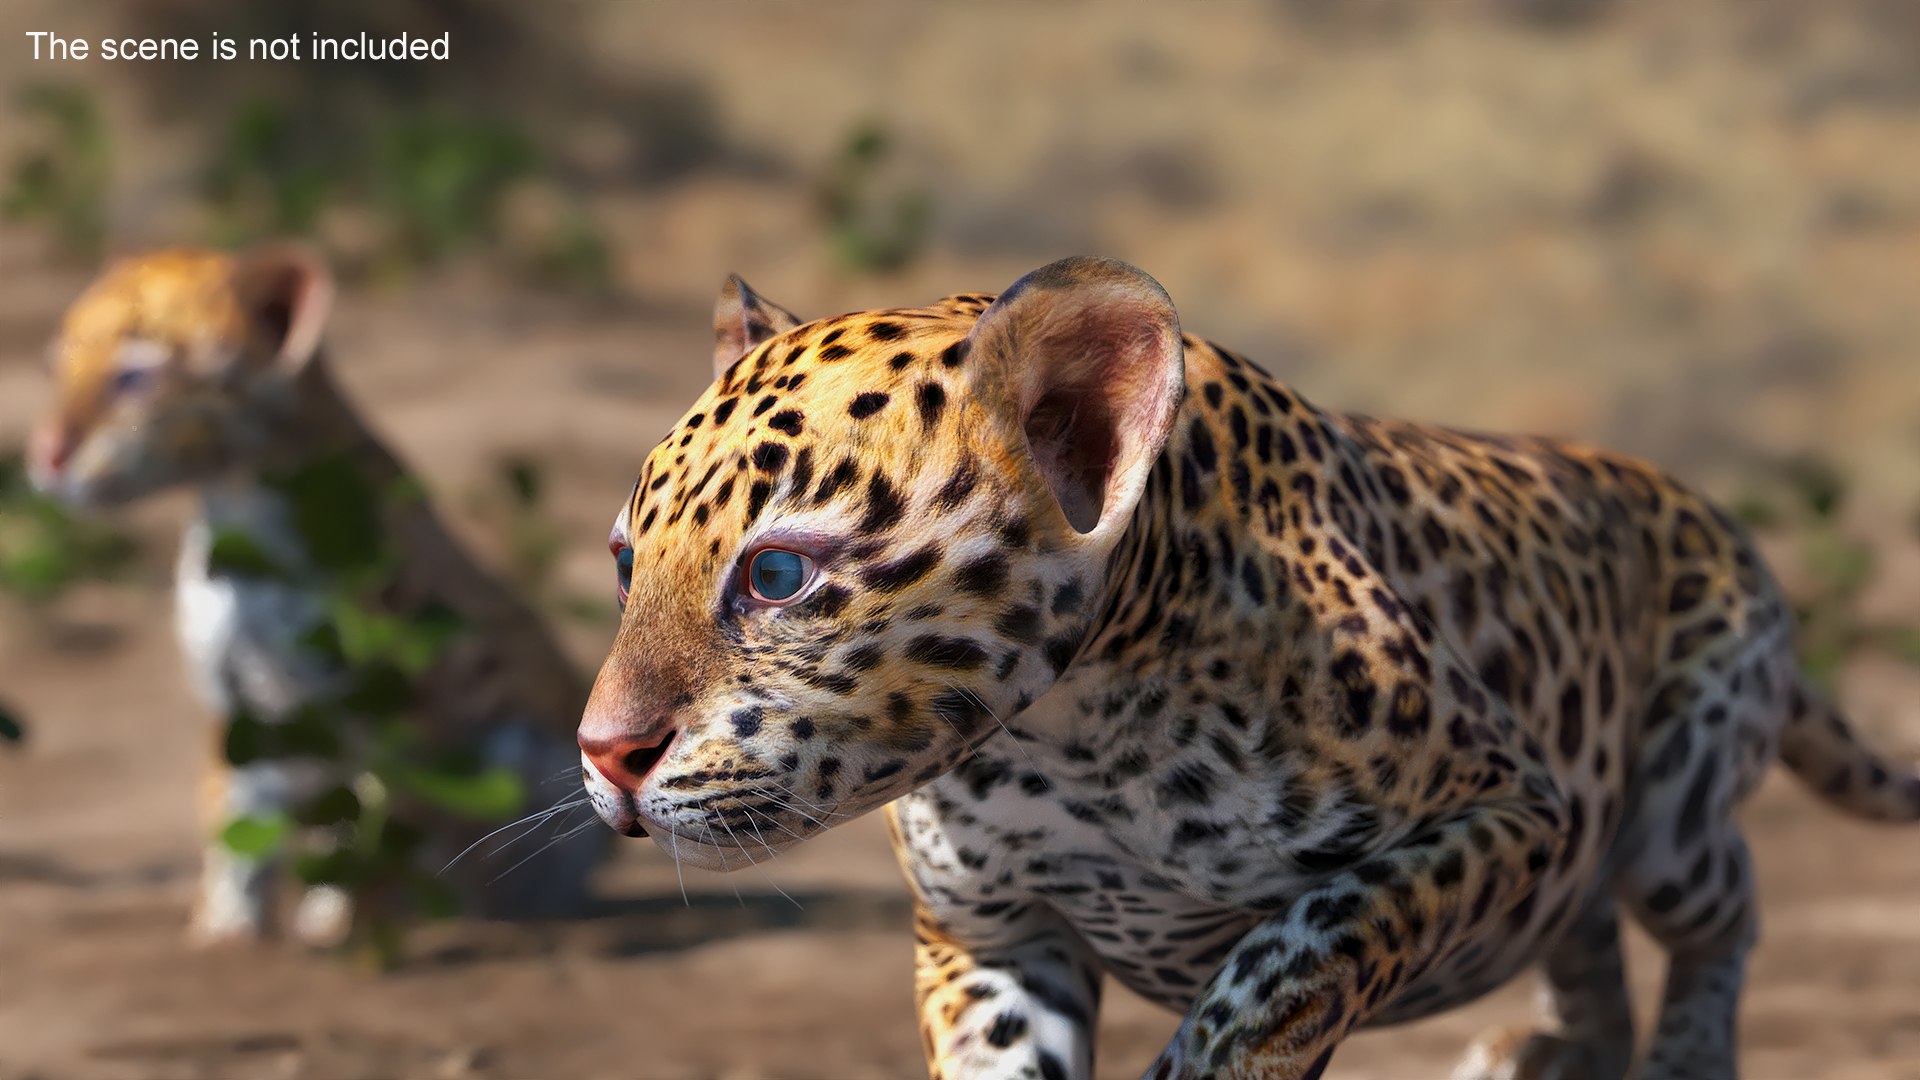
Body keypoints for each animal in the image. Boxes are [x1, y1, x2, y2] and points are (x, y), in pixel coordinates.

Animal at [28, 246, 606, 946]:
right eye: (56, 367)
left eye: (135, 377)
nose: (43, 455)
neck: (238, 506)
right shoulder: (237, 708)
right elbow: (236, 830)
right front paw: (225, 936)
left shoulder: (387, 704)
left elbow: (365, 828)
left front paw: (333, 931)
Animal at [576, 256, 1920, 1079]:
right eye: (625, 558)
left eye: (776, 575)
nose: (603, 755)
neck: (1062, 742)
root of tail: (1700, 504)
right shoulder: (990, 931)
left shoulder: (1505, 808)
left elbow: (1291, 958)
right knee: (1586, 945)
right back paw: (1539, 1058)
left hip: (1670, 817)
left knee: (1722, 902)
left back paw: (1682, 1055)